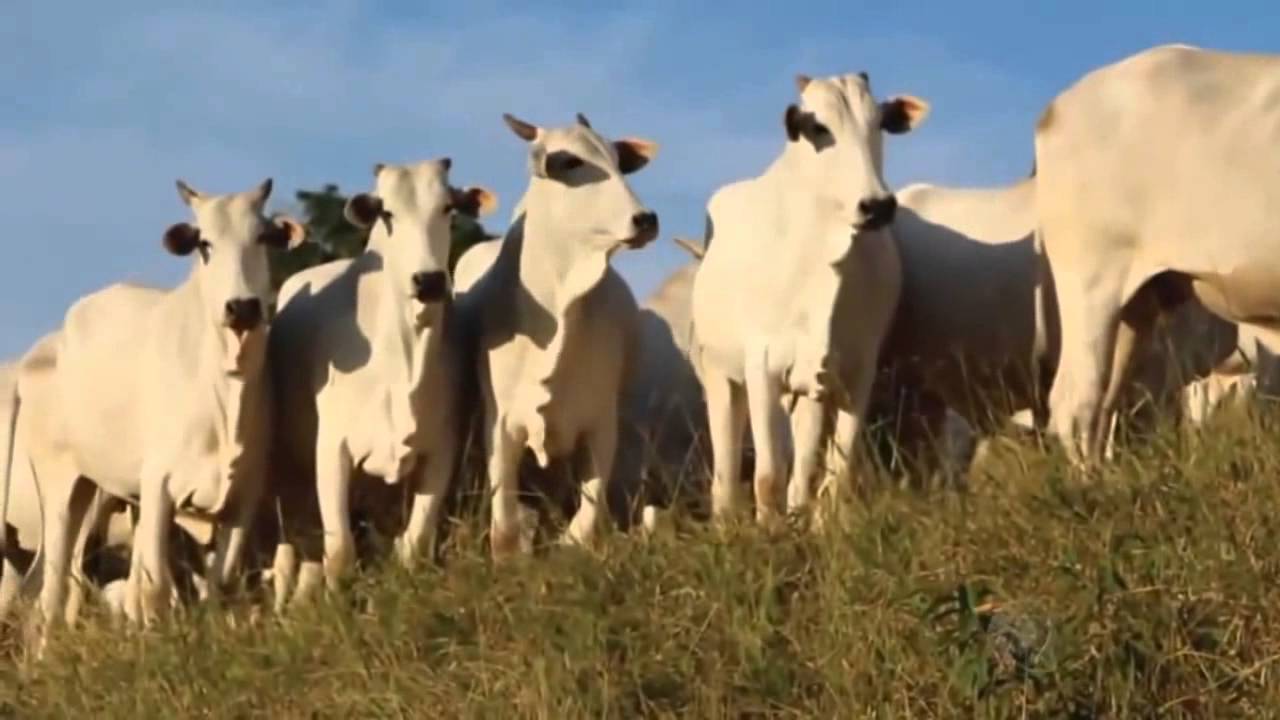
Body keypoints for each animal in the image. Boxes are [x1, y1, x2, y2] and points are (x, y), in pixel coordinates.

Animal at [6, 178, 307, 631]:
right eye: (204, 244)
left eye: (261, 237)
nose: (242, 307)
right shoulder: (158, 487)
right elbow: (153, 591)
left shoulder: (242, 500)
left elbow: (218, 587)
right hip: (60, 484)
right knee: (51, 591)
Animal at [267, 157, 496, 603]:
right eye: (388, 213)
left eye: (448, 208)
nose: (429, 280)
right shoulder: (332, 451)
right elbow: (339, 552)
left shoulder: (440, 454)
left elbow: (415, 544)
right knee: (291, 553)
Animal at [455, 112, 659, 557]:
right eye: (570, 161)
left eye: (617, 160)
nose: (646, 220)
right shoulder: (501, 426)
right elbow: (505, 521)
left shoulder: (601, 426)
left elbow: (585, 518)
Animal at [690, 72, 928, 524]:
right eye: (819, 128)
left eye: (879, 122)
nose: (876, 206)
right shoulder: (761, 367)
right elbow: (767, 476)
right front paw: (769, 532)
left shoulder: (857, 369)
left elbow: (836, 472)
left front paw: (826, 527)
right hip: (720, 376)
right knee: (726, 475)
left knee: (803, 464)